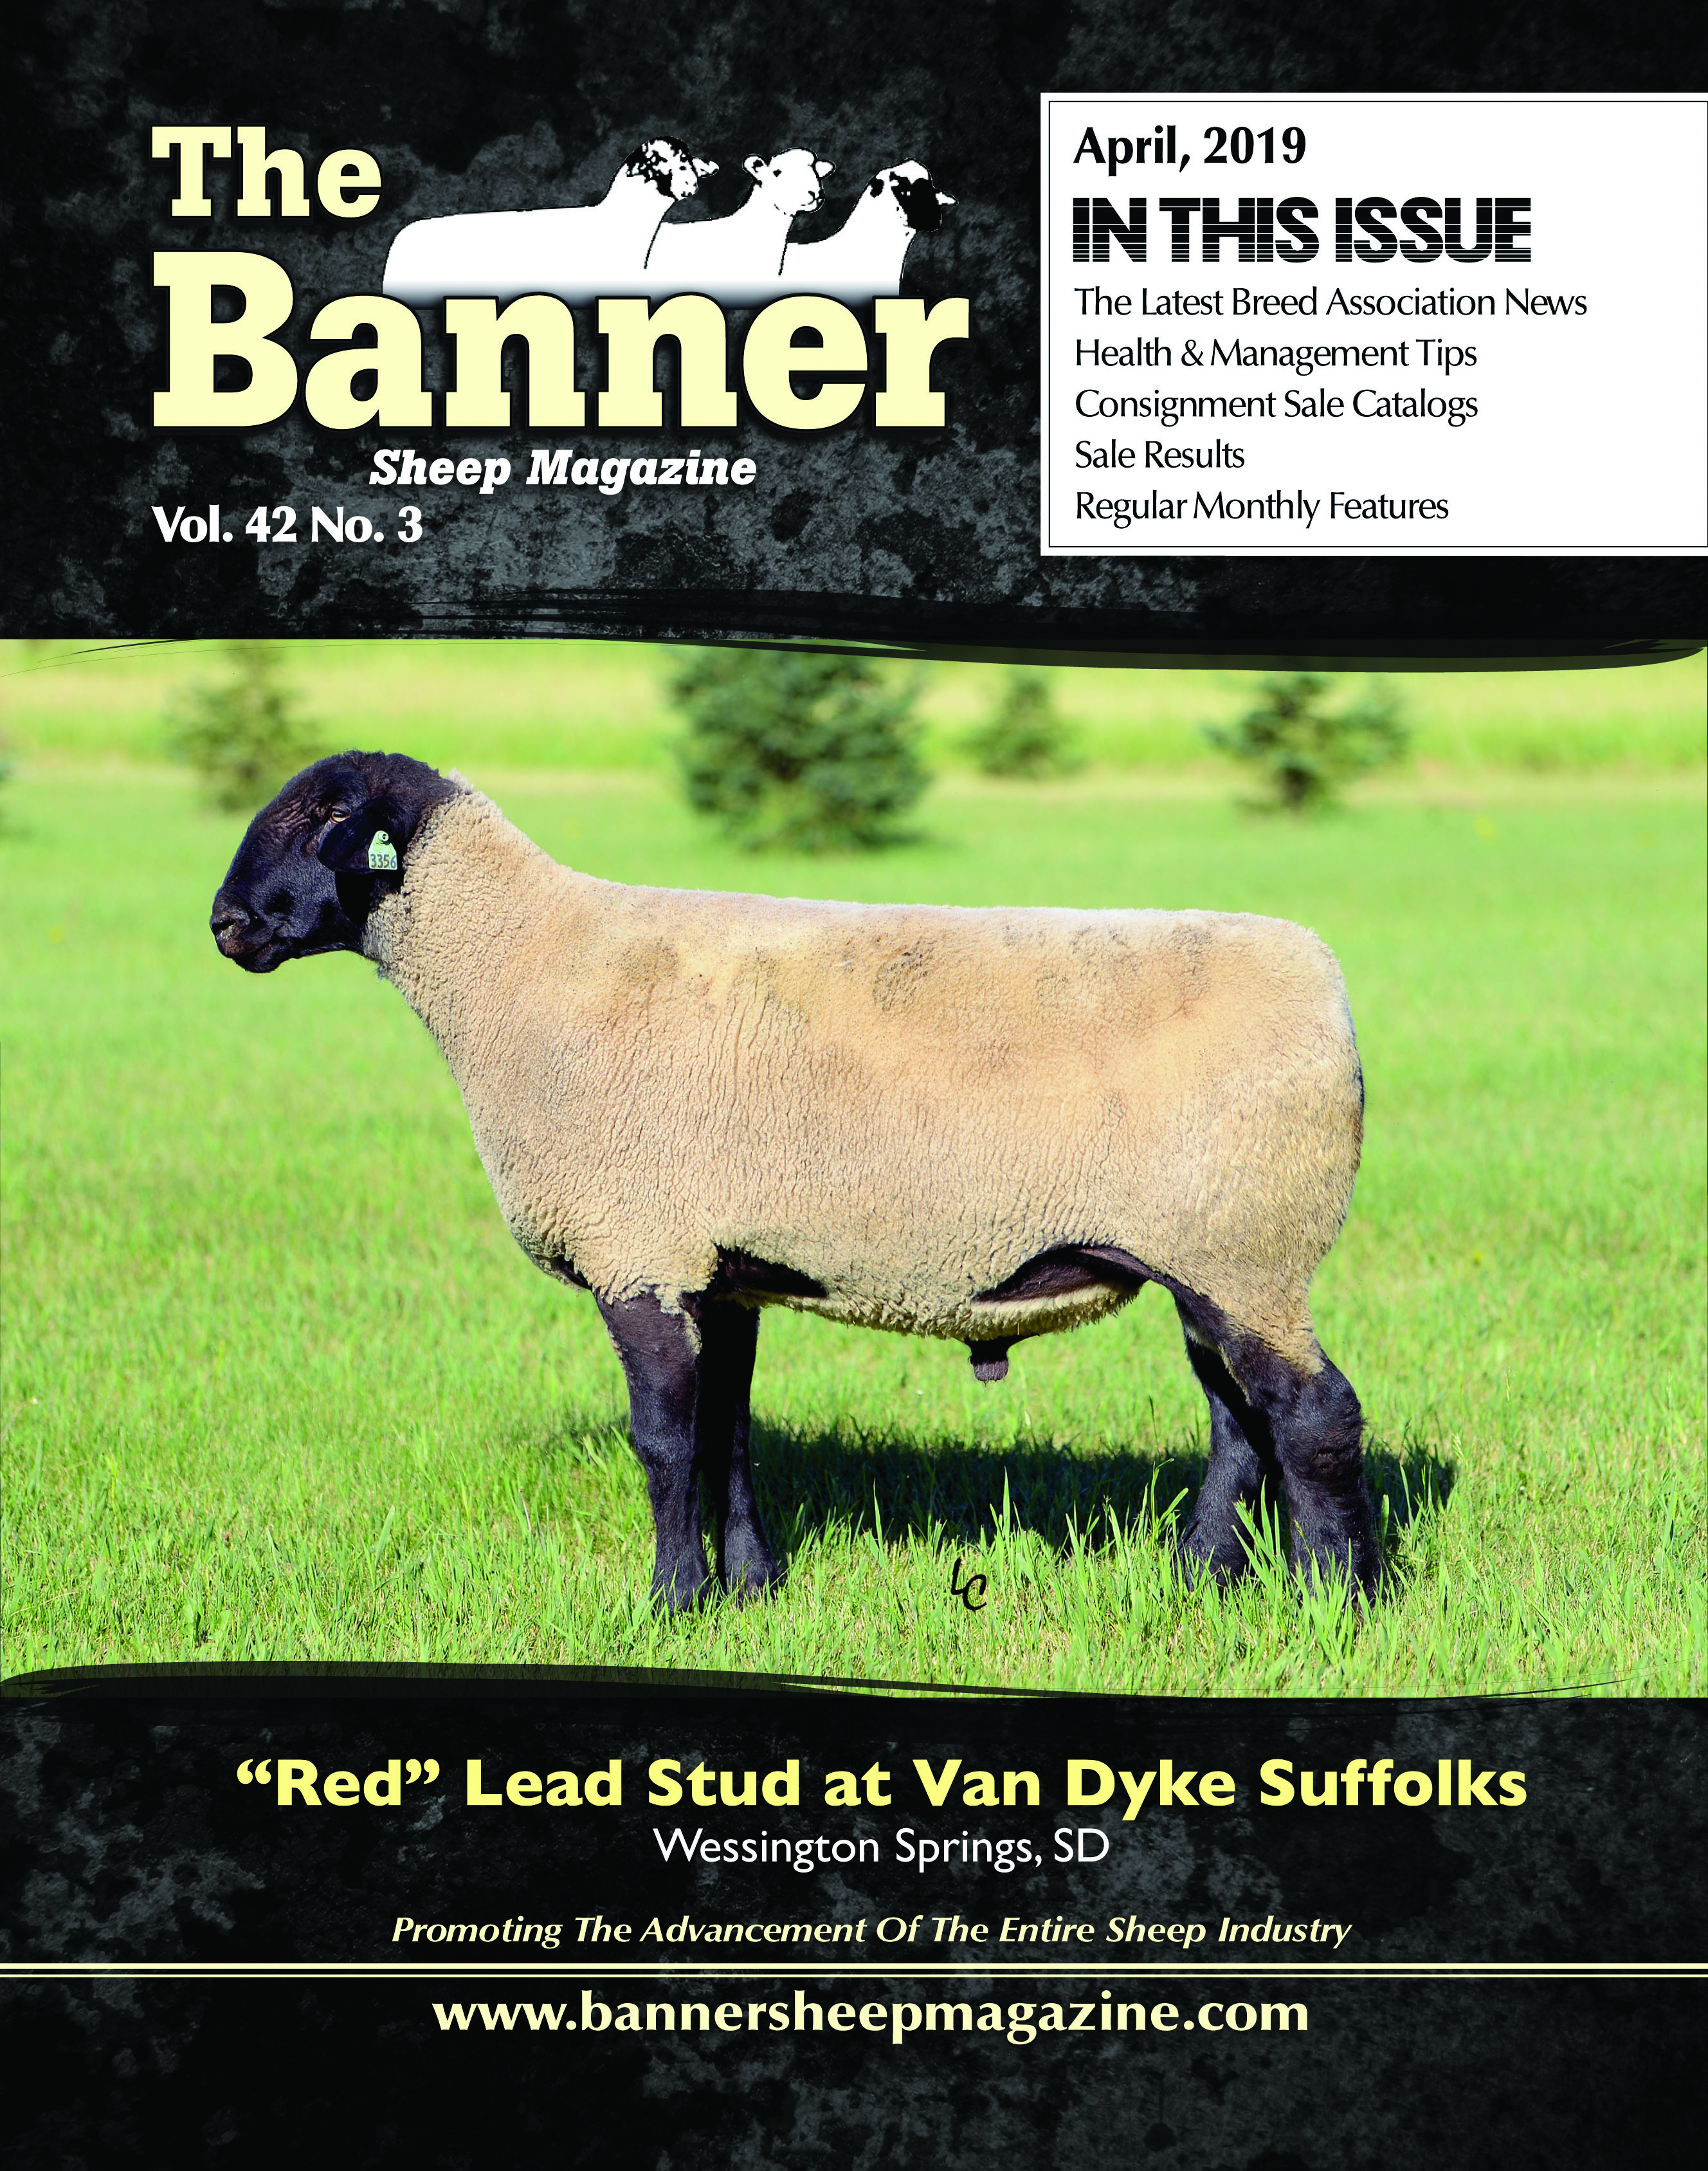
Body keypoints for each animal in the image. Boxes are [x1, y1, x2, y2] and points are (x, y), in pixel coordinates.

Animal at [210, 752, 1379, 1614]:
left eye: (326, 819)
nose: (225, 926)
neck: (520, 968)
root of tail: (1327, 987)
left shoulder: (638, 1249)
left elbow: (666, 1437)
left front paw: (673, 1603)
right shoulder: (715, 1267)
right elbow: (727, 1432)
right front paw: (751, 1588)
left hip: (1251, 1243)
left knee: (1313, 1414)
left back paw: (1332, 1600)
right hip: (1213, 1252)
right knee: (1239, 1420)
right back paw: (1202, 1576)